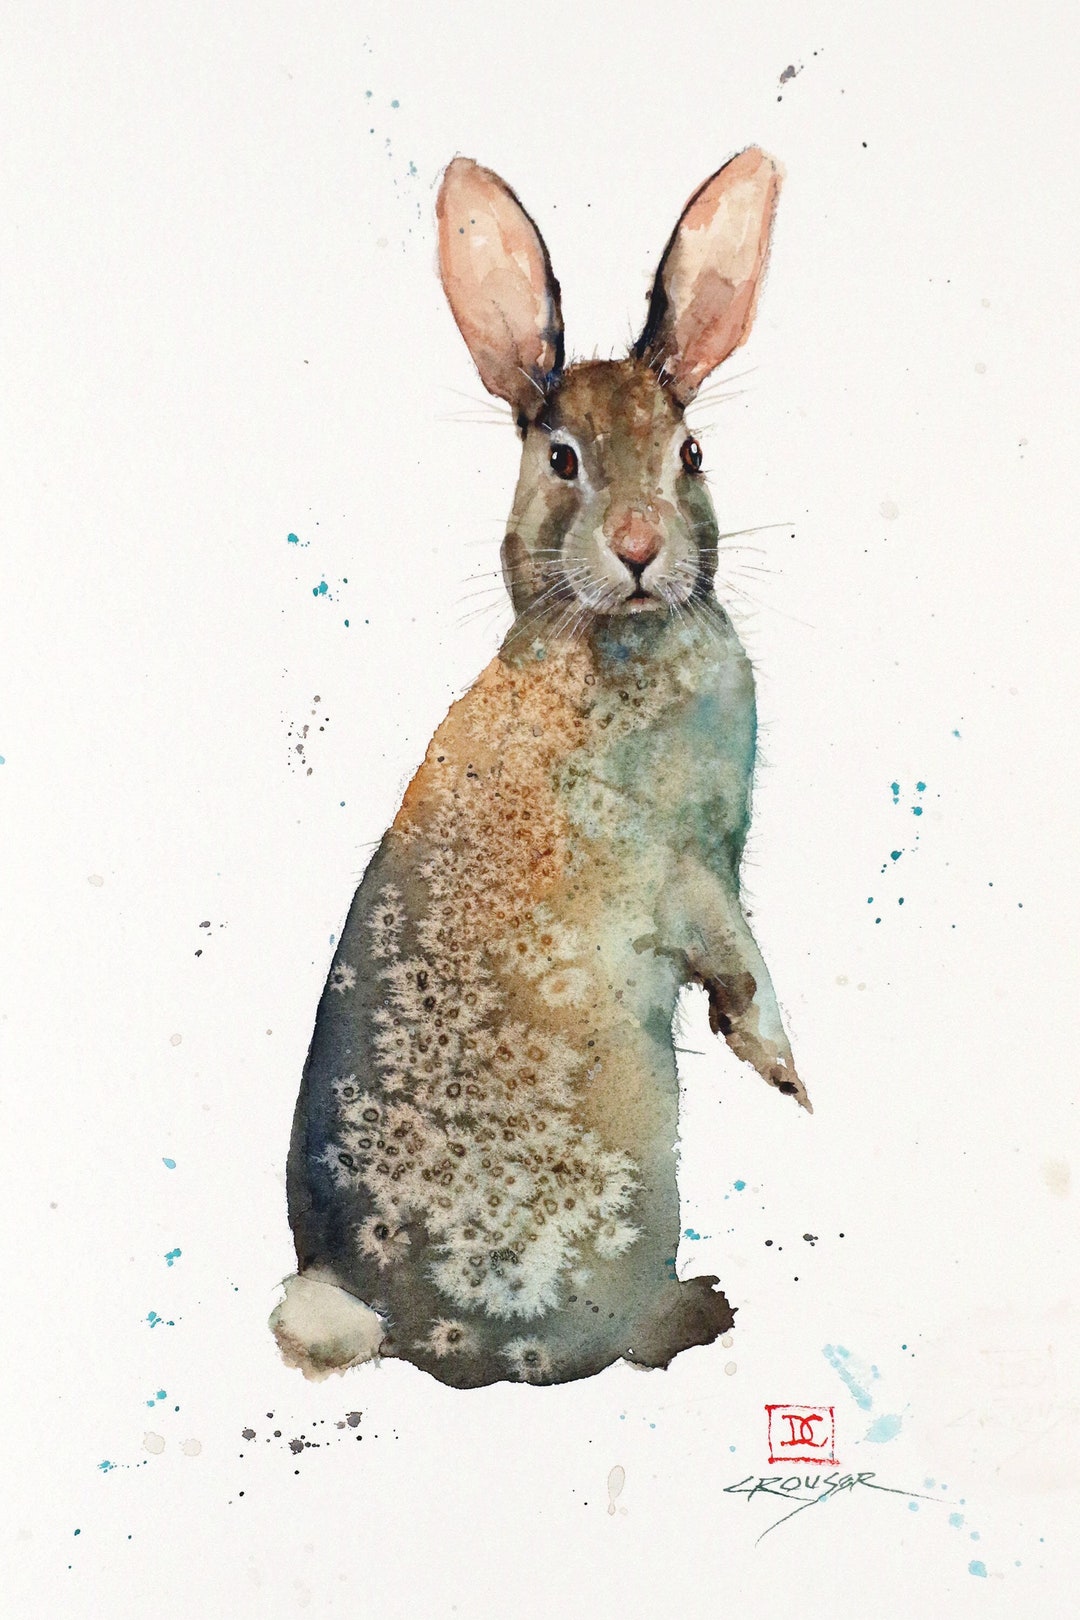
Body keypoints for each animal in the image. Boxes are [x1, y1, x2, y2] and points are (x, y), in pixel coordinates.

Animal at [270, 147, 809, 1390]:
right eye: (561, 459)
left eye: (690, 453)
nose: (641, 546)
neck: (614, 637)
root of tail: (383, 1322)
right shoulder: (688, 875)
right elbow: (740, 958)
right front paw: (786, 1072)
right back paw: (699, 1313)